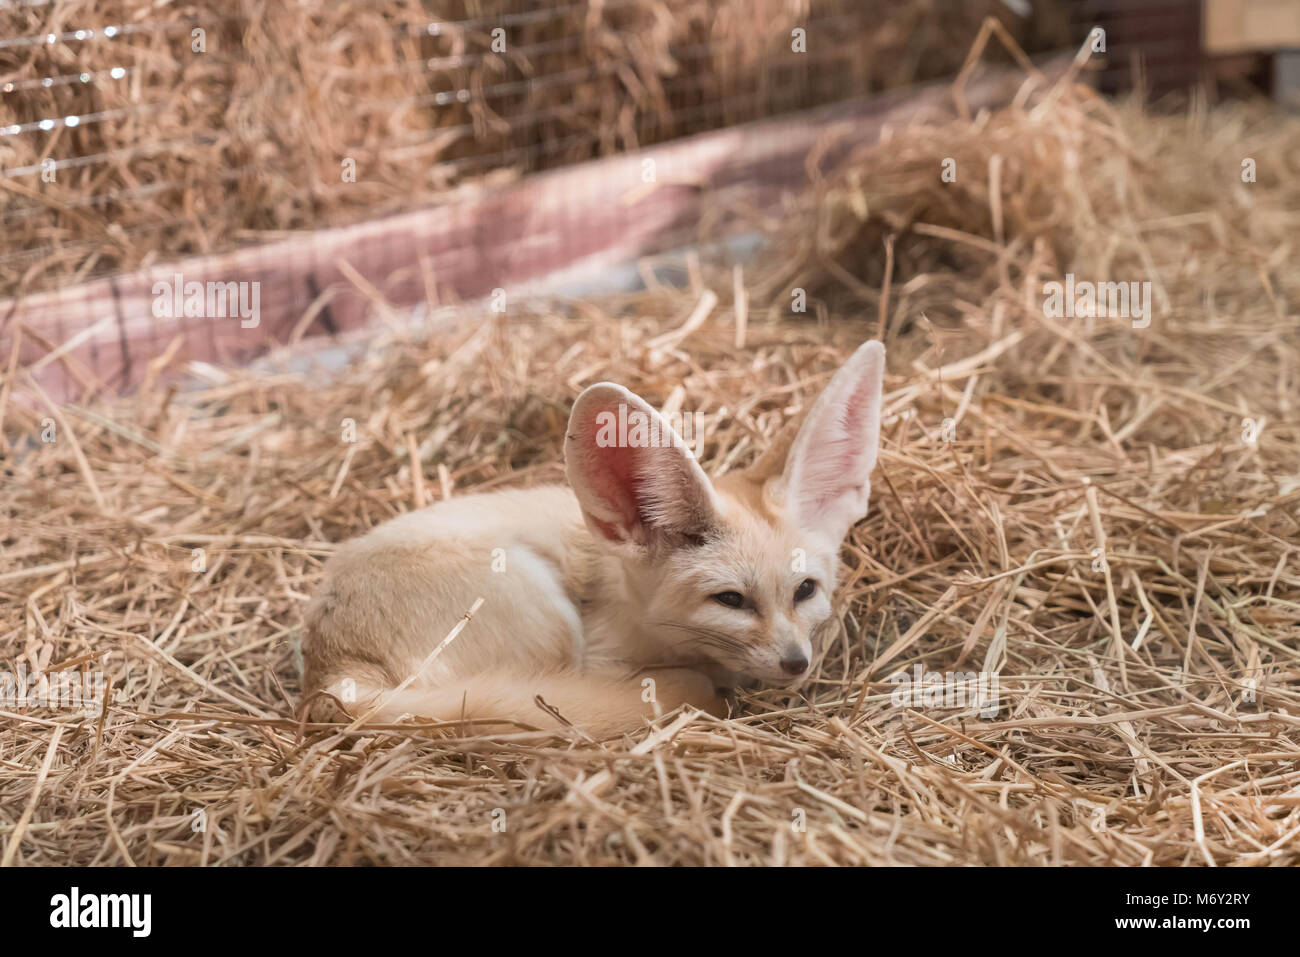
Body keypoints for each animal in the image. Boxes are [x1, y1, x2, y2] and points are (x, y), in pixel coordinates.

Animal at [301, 339, 885, 738]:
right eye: (731, 600)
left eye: (805, 590)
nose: (797, 664)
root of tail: (332, 669)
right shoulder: (602, 659)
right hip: (545, 612)